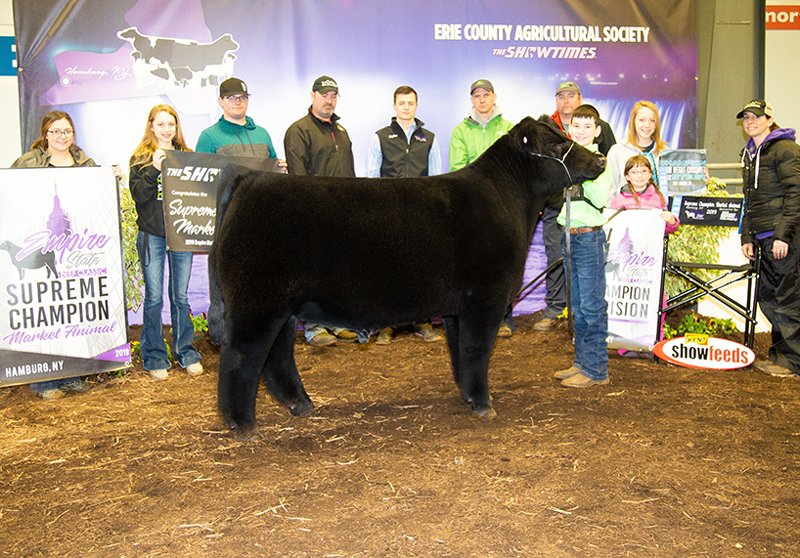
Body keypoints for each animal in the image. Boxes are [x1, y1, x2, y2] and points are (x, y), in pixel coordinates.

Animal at [209, 116, 605, 440]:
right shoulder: (485, 300)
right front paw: (483, 403)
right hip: (256, 304)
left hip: (280, 307)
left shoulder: (457, 308)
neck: (505, 200)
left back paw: (301, 406)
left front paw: (468, 396)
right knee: (240, 359)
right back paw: (243, 426)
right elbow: (477, 351)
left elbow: (460, 353)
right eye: (555, 144)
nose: (600, 160)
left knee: (276, 358)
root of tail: (253, 177)